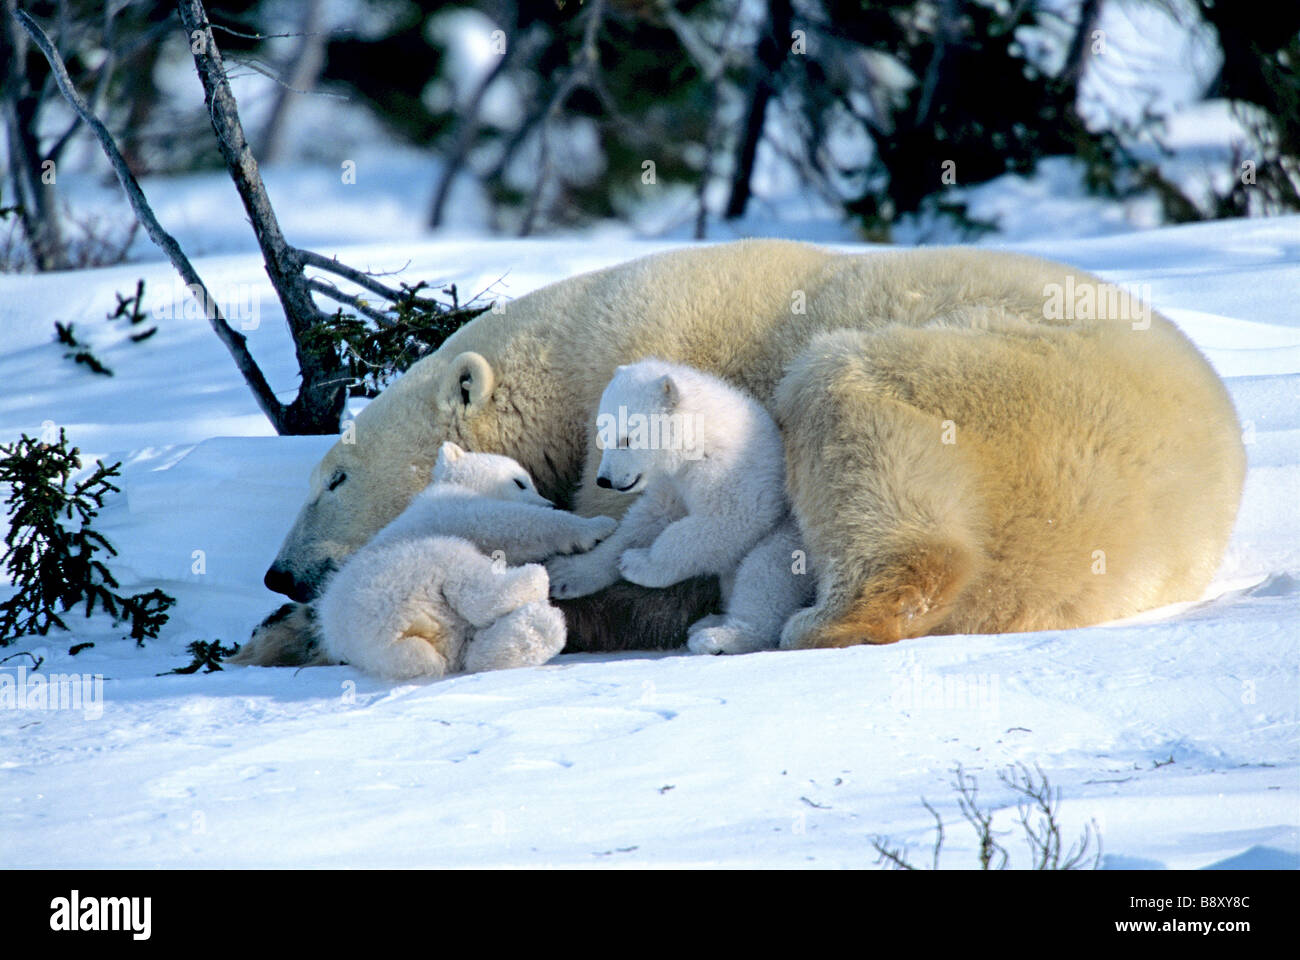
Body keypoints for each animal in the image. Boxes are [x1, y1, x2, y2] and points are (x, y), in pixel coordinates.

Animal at [241, 442, 616, 679]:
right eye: (520, 481)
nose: (550, 502)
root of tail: (385, 642)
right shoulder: (454, 510)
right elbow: (512, 524)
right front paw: (598, 526)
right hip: (411, 572)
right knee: (466, 578)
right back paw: (533, 581)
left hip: (445, 634)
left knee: (485, 645)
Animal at [546, 358, 814, 655]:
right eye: (603, 434)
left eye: (627, 438)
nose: (604, 480)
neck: (701, 438)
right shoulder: (671, 482)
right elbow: (647, 520)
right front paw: (565, 573)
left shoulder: (734, 471)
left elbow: (727, 520)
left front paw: (638, 563)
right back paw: (711, 620)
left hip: (793, 537)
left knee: (765, 573)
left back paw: (719, 637)